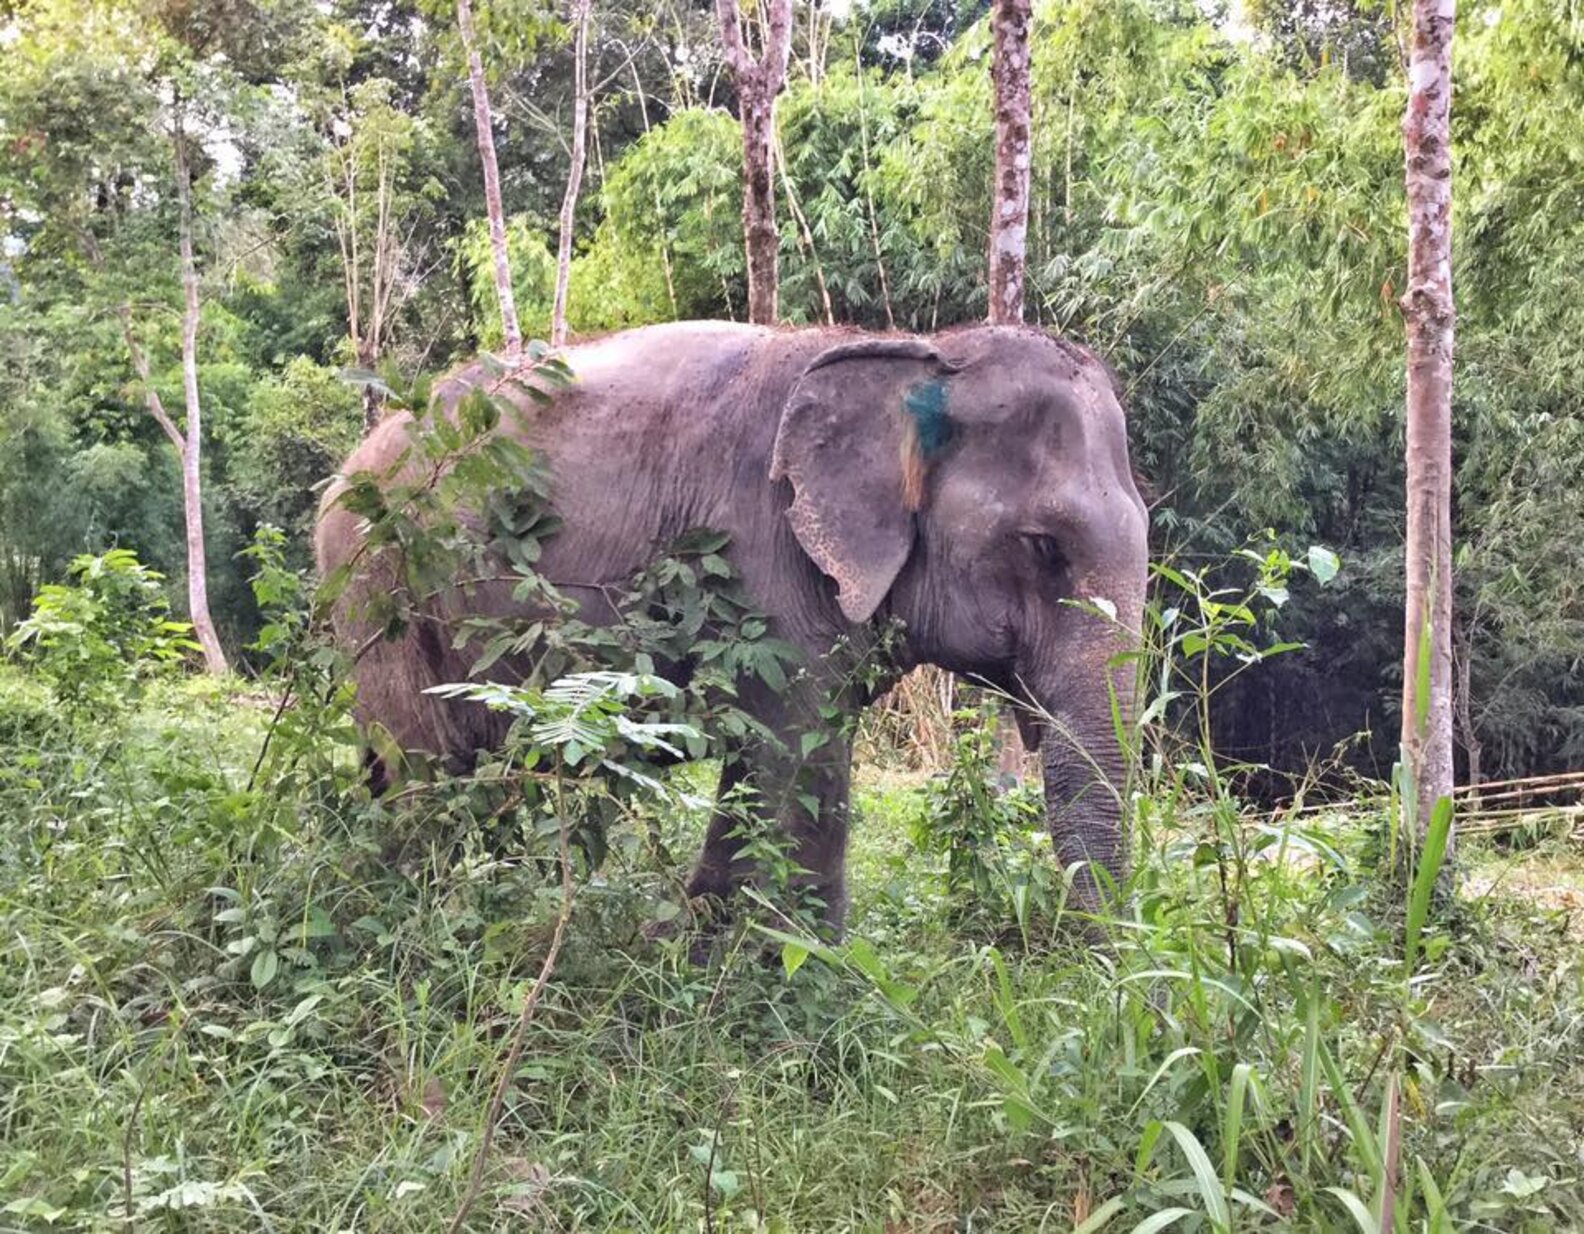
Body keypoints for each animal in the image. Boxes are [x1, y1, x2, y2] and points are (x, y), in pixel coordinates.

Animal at [316, 321, 1149, 930]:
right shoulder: (765, 556)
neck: (918, 350)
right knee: (424, 769)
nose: (1084, 963)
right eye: (1043, 547)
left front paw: (709, 947)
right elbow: (799, 760)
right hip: (381, 587)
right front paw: (797, 986)